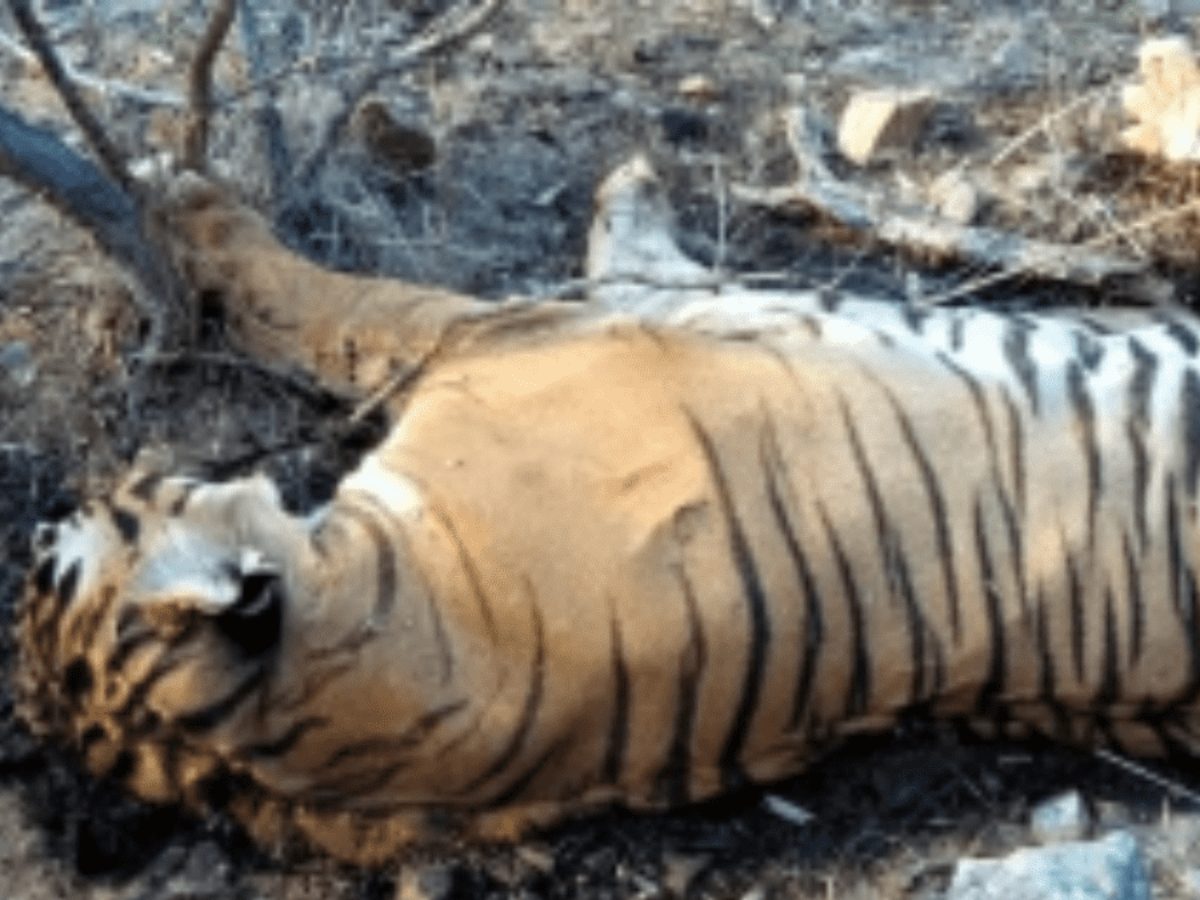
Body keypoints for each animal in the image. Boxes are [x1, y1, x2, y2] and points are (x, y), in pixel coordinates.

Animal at [15, 156, 1200, 864]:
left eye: (55, 561)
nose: (42, 519)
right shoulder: (529, 324)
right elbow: (341, 303)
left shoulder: (525, 327)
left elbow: (336, 307)